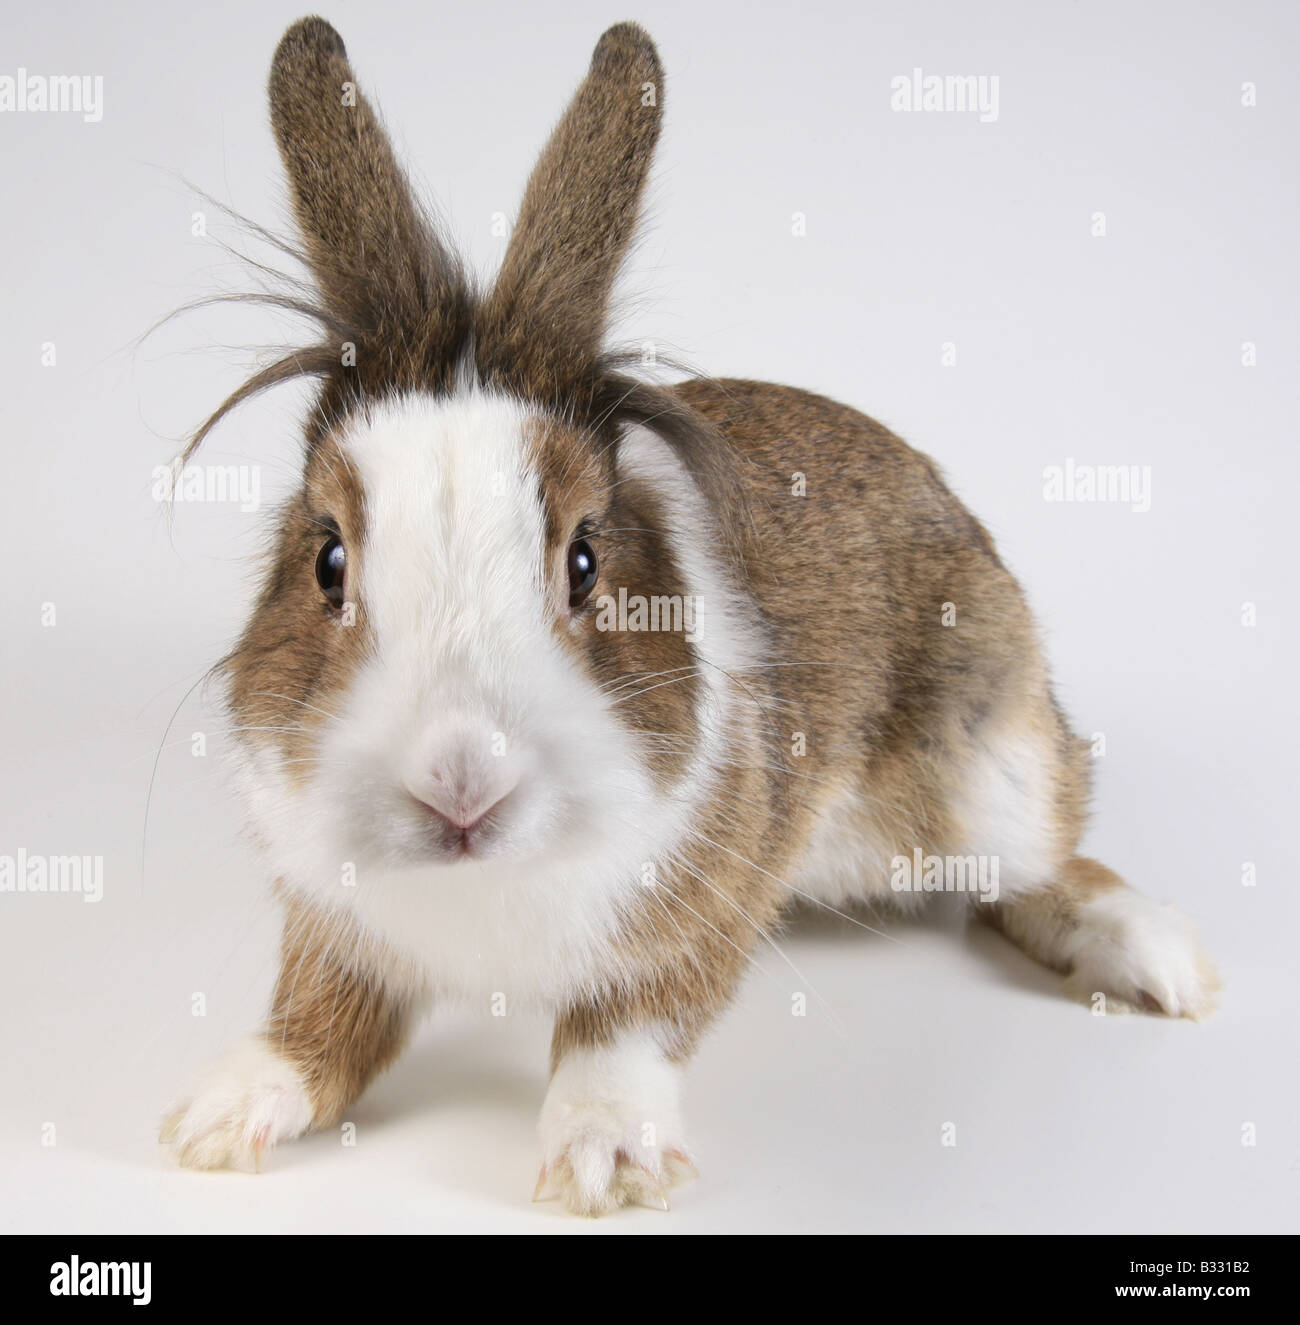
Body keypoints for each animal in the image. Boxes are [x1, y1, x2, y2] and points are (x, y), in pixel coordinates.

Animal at [160, 16, 1220, 1217]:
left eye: (583, 560)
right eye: (328, 560)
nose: (459, 782)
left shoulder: (707, 899)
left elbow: (625, 1028)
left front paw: (604, 1162)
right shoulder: (335, 923)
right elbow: (323, 1024)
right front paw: (219, 1115)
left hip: (991, 777)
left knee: (1038, 868)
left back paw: (1161, 959)